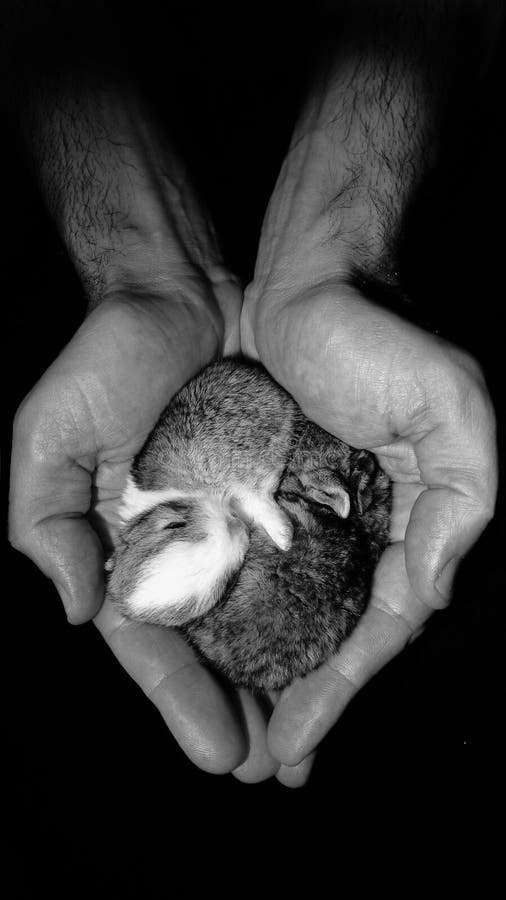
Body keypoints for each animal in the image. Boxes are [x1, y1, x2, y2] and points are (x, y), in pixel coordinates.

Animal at [105, 358, 392, 691]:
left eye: (174, 524)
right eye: (222, 585)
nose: (232, 526)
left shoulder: (240, 487)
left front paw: (284, 538)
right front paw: (286, 537)